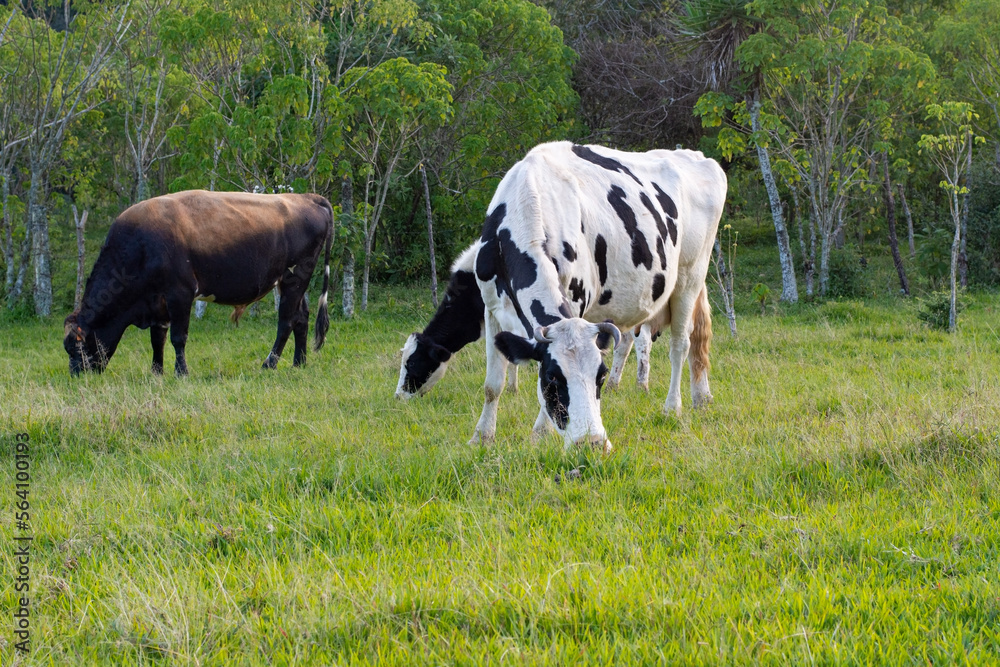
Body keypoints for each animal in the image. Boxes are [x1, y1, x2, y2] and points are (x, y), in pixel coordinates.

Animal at [63, 190, 333, 376]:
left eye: (76, 348)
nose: (77, 375)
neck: (138, 248)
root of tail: (307, 198)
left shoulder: (180, 294)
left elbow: (178, 337)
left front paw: (181, 372)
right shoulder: (157, 303)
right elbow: (157, 339)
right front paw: (156, 372)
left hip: (294, 278)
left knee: (286, 321)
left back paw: (269, 363)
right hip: (294, 282)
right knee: (301, 318)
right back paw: (299, 363)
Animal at [470, 141, 727, 451]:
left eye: (599, 376)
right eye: (552, 379)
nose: (592, 443)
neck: (527, 204)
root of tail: (695, 155)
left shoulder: (576, 301)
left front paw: (540, 433)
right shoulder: (490, 307)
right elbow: (492, 384)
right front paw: (482, 435)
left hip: (690, 276)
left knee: (681, 345)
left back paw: (672, 407)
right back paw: (701, 396)